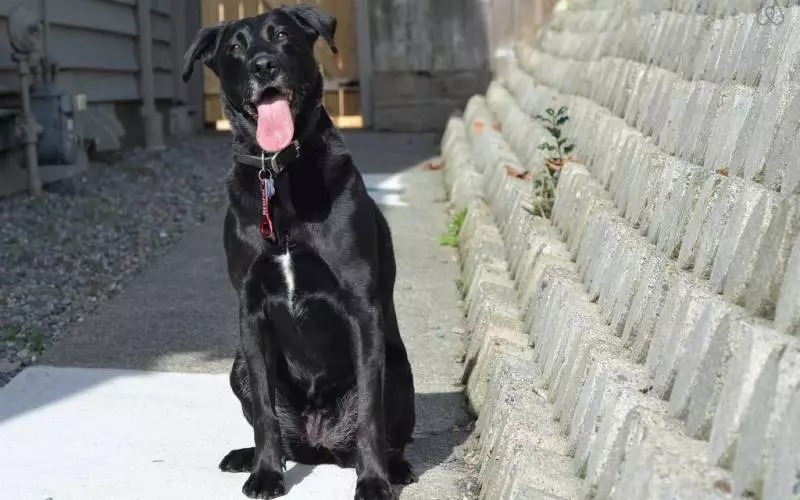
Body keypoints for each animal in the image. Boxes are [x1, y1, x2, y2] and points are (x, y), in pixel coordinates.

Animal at [182, 3, 416, 500]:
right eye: (235, 48)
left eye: (283, 36)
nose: (263, 65)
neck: (279, 174)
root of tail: (320, 443)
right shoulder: (251, 311)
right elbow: (265, 415)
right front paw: (266, 473)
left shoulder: (361, 308)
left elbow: (370, 416)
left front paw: (373, 482)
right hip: (236, 368)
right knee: (276, 428)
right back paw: (247, 456)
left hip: (397, 369)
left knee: (384, 431)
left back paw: (394, 467)